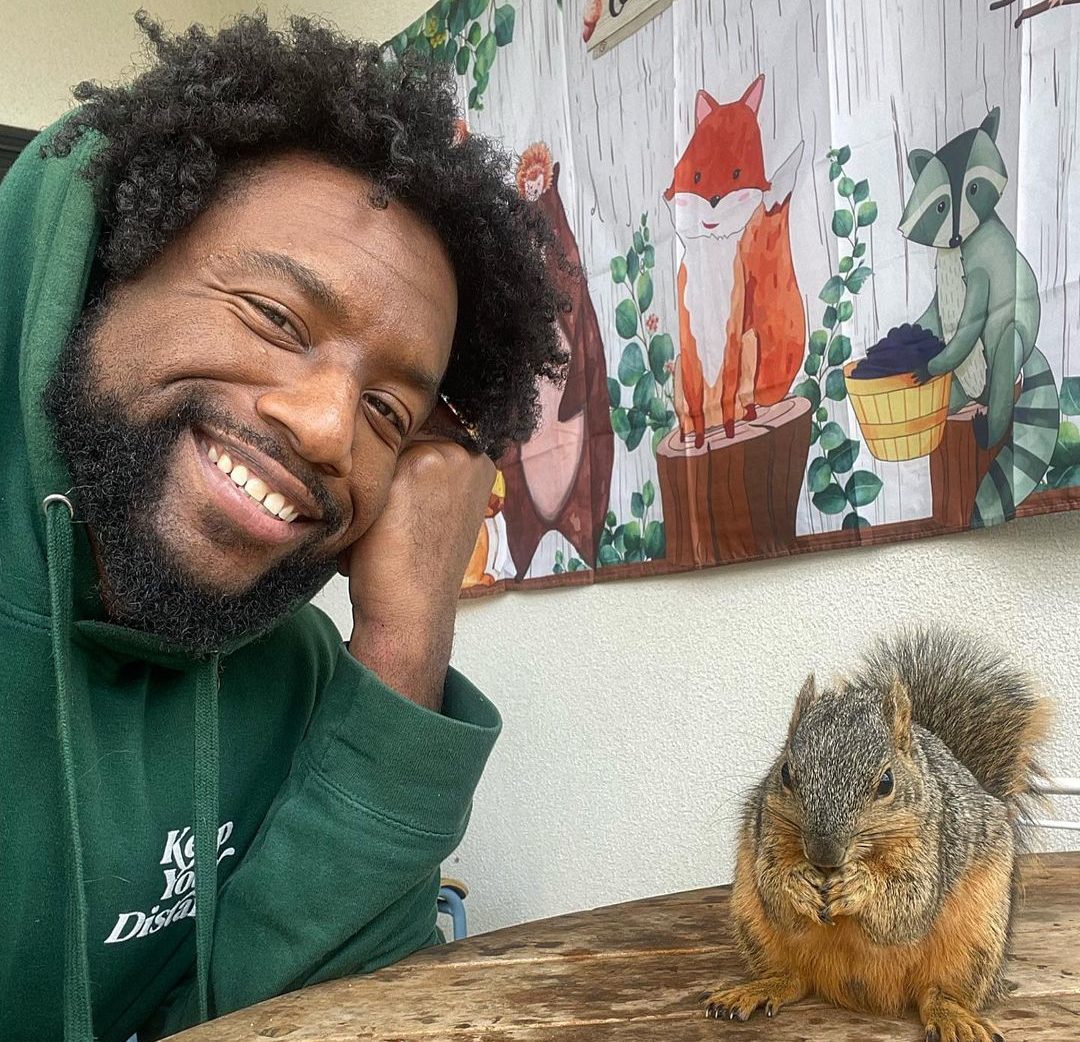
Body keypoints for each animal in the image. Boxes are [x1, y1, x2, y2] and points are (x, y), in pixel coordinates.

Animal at [704, 627, 1051, 1042]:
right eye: (785, 772)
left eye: (886, 783)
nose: (823, 854)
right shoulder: (766, 828)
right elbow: (773, 888)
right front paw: (796, 883)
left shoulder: (934, 845)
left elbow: (909, 904)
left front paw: (860, 887)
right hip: (751, 921)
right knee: (792, 977)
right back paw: (758, 988)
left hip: (977, 940)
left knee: (939, 992)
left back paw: (953, 1015)